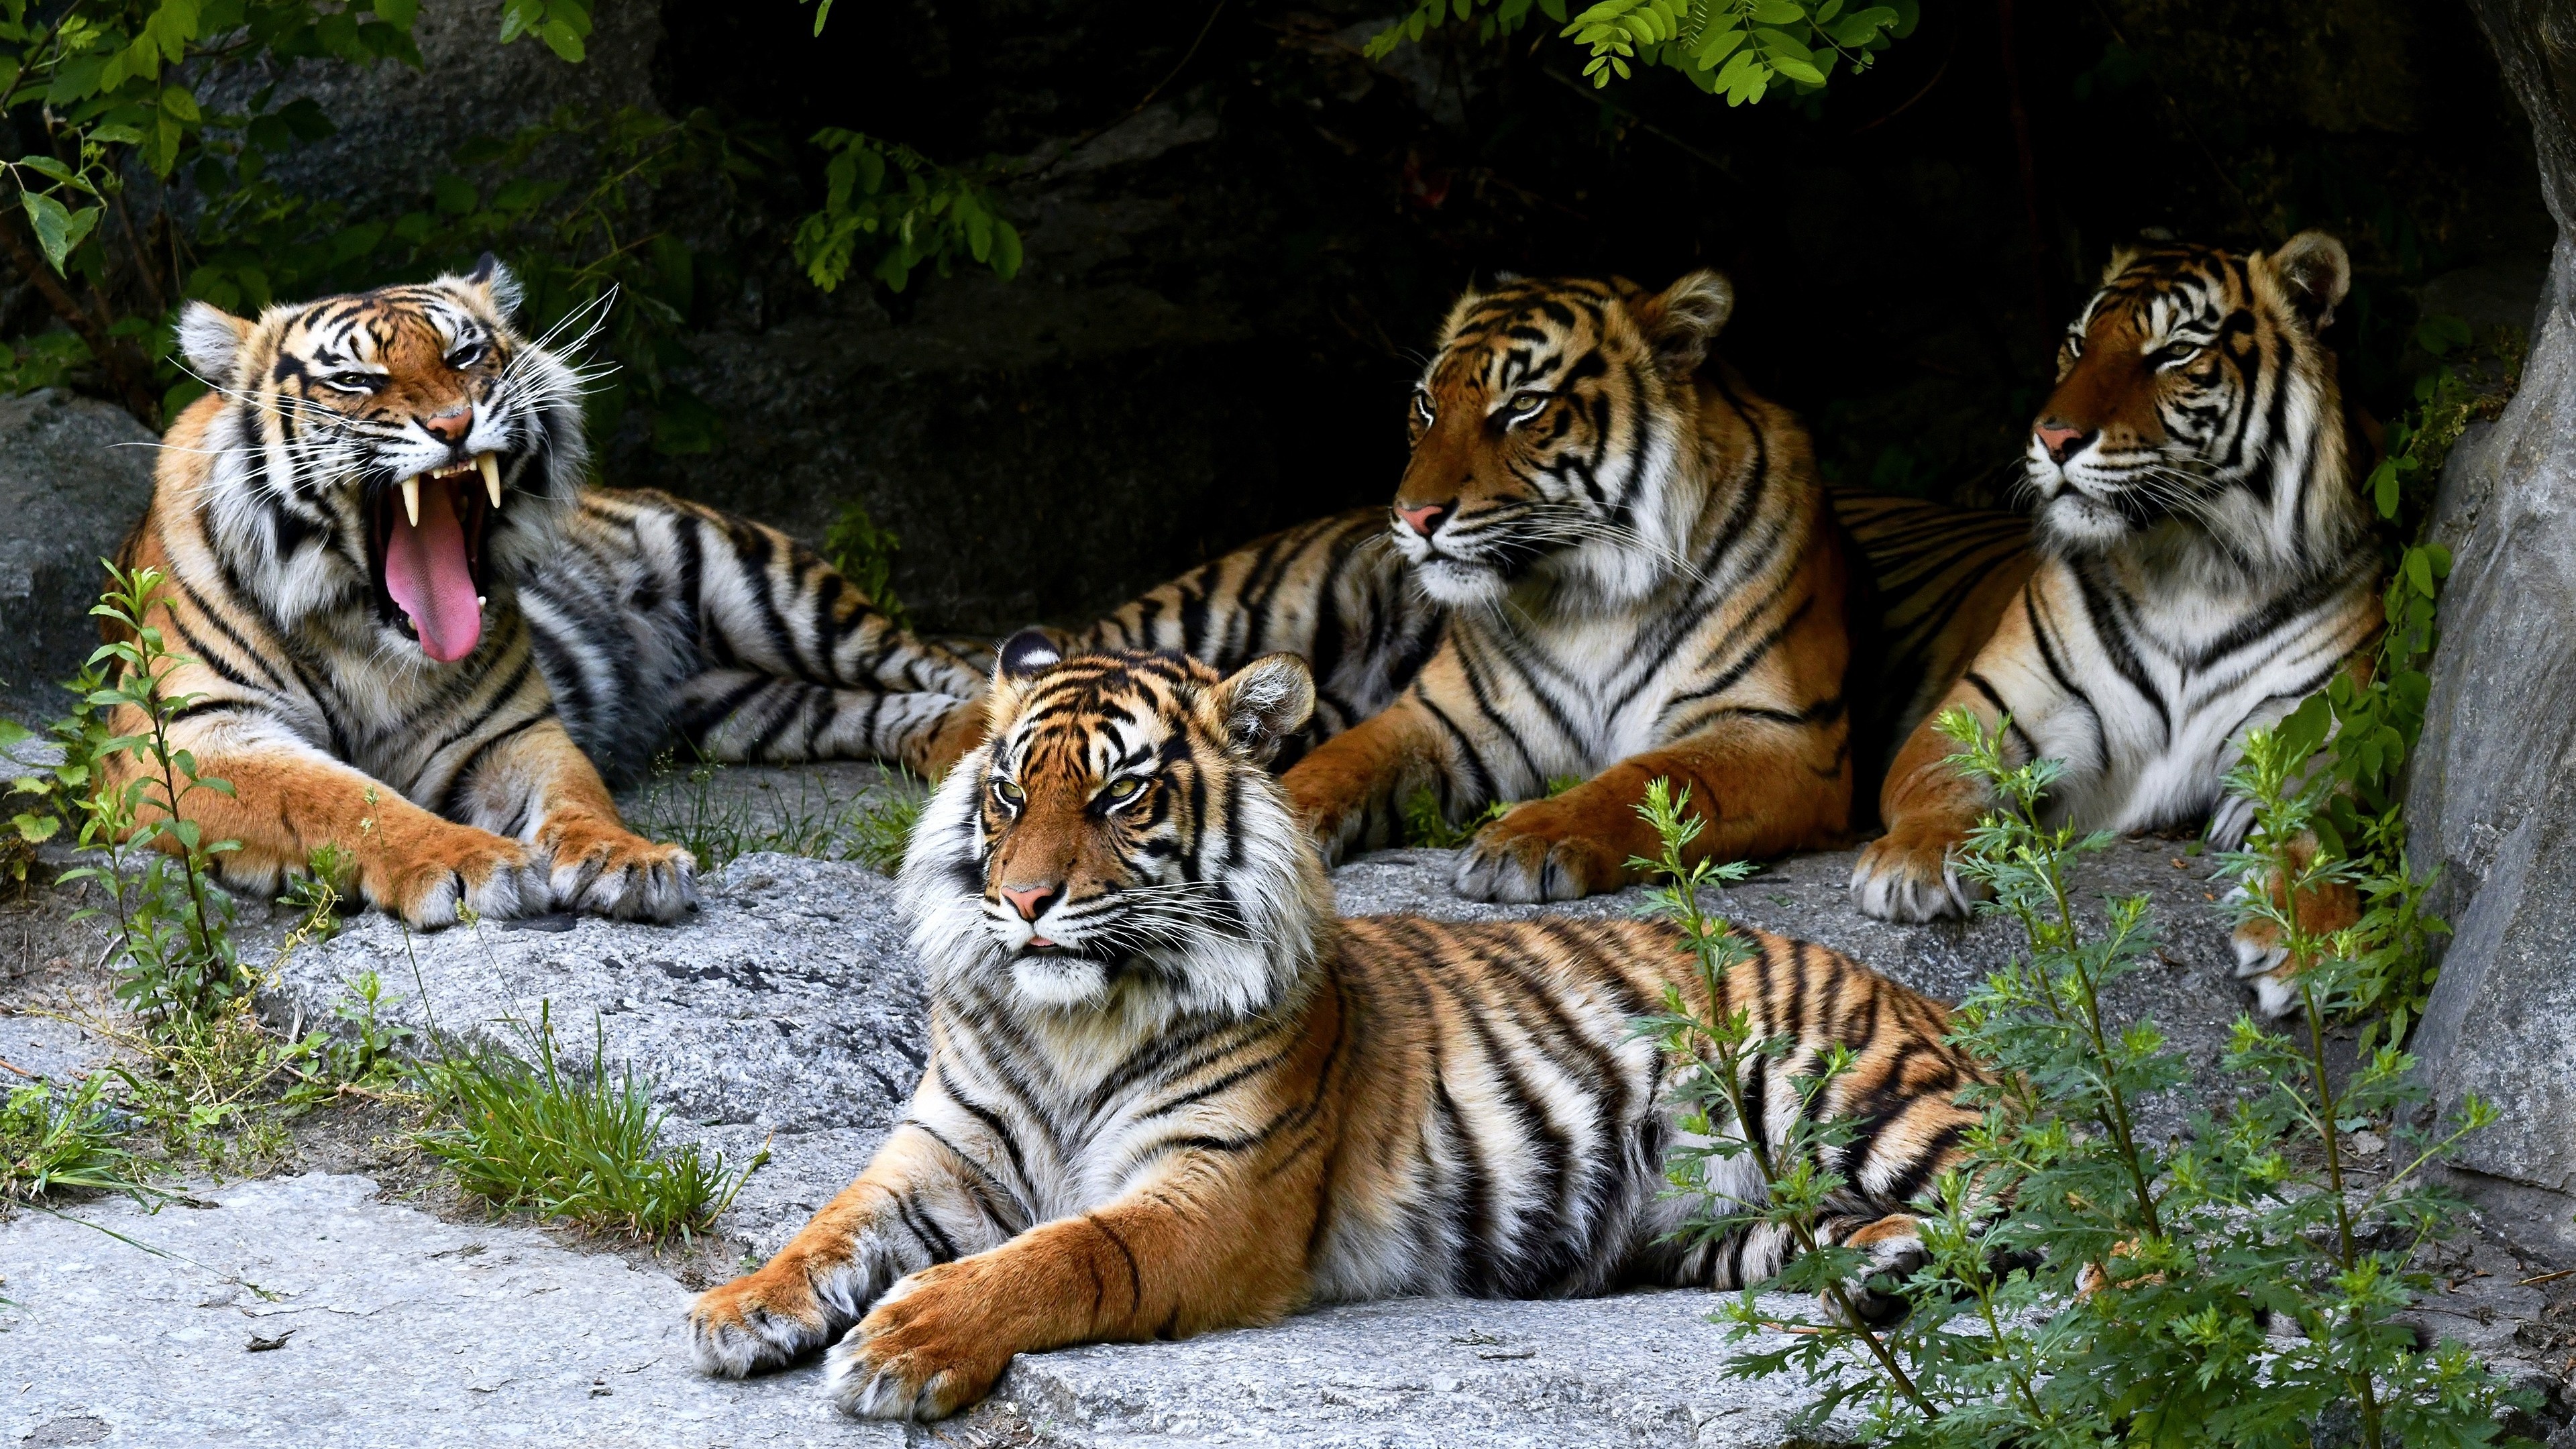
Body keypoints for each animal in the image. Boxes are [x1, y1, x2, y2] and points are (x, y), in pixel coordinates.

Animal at [112, 260, 987, 926]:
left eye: (466, 355)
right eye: (356, 381)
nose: (454, 424)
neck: (368, 633)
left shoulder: (507, 728)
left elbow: (578, 790)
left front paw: (628, 861)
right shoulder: (191, 741)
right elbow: (342, 799)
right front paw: (465, 862)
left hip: (779, 598)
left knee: (954, 671)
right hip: (739, 707)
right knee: (883, 708)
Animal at [684, 636, 1992, 1420]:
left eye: (1120, 794)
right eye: (1007, 793)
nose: (1023, 900)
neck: (1075, 1027)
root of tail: (1926, 998)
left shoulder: (1214, 1198)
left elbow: (1062, 1257)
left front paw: (900, 1345)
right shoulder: (941, 1155)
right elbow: (833, 1224)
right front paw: (740, 1308)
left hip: (1864, 1101)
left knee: (2032, 1200)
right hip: (1714, 1227)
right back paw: (1880, 1270)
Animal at [1848, 232, 2380, 1015]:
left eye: (2174, 352)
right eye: (2076, 343)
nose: (2053, 436)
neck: (2194, 569)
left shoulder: (2314, 735)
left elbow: (2321, 835)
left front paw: (2311, 945)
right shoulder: (1986, 708)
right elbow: (1941, 783)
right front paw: (1913, 864)